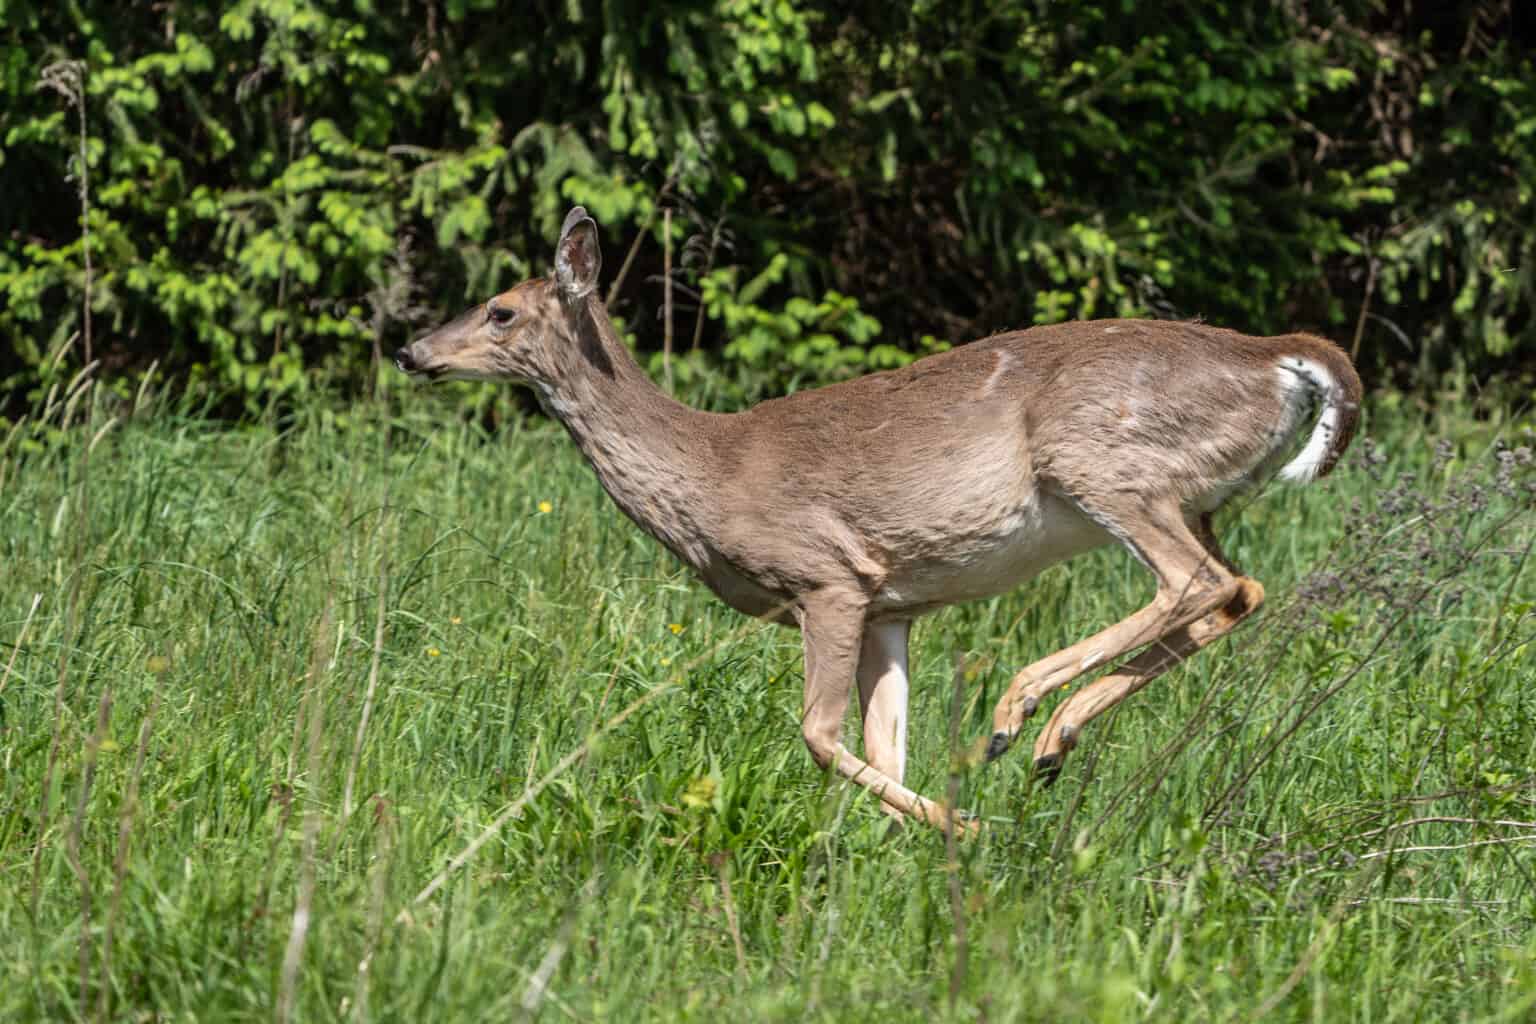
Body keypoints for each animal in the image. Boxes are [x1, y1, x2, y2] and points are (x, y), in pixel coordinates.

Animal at [395, 207, 1362, 834]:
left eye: (501, 310)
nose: (411, 350)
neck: (709, 471)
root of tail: (1280, 357)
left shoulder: (826, 575)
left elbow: (819, 735)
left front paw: (962, 828)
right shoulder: (891, 601)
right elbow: (882, 745)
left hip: (1105, 464)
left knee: (1196, 581)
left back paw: (1016, 713)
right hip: (1199, 496)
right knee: (1242, 589)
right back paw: (1051, 742)